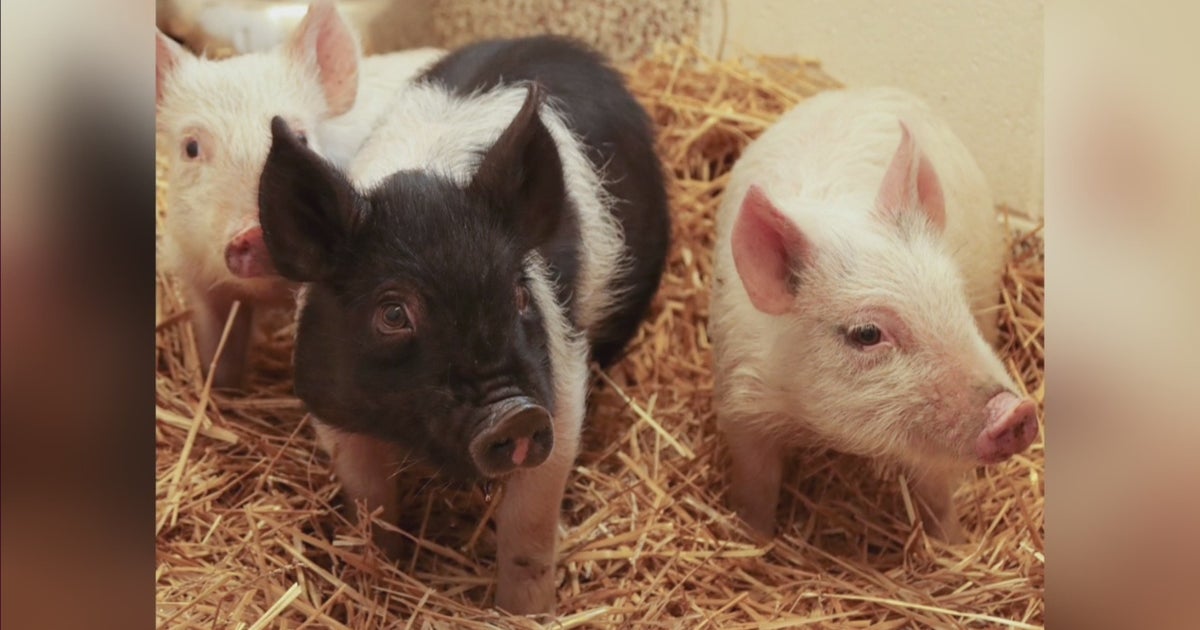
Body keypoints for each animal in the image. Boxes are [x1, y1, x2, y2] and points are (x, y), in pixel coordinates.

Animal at [156, 0, 444, 388]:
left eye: (301, 137)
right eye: (191, 147)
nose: (256, 231)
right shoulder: (202, 284)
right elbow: (217, 350)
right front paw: (222, 388)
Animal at [255, 36, 670, 614]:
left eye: (519, 293)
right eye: (393, 313)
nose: (514, 413)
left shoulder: (561, 384)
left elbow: (530, 519)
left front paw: (526, 614)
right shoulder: (330, 406)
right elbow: (369, 498)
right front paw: (381, 572)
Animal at [709, 87, 1039, 543]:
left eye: (953, 299)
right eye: (867, 333)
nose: (1016, 412)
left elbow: (936, 491)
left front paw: (954, 546)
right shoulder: (741, 398)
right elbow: (755, 487)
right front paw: (751, 540)